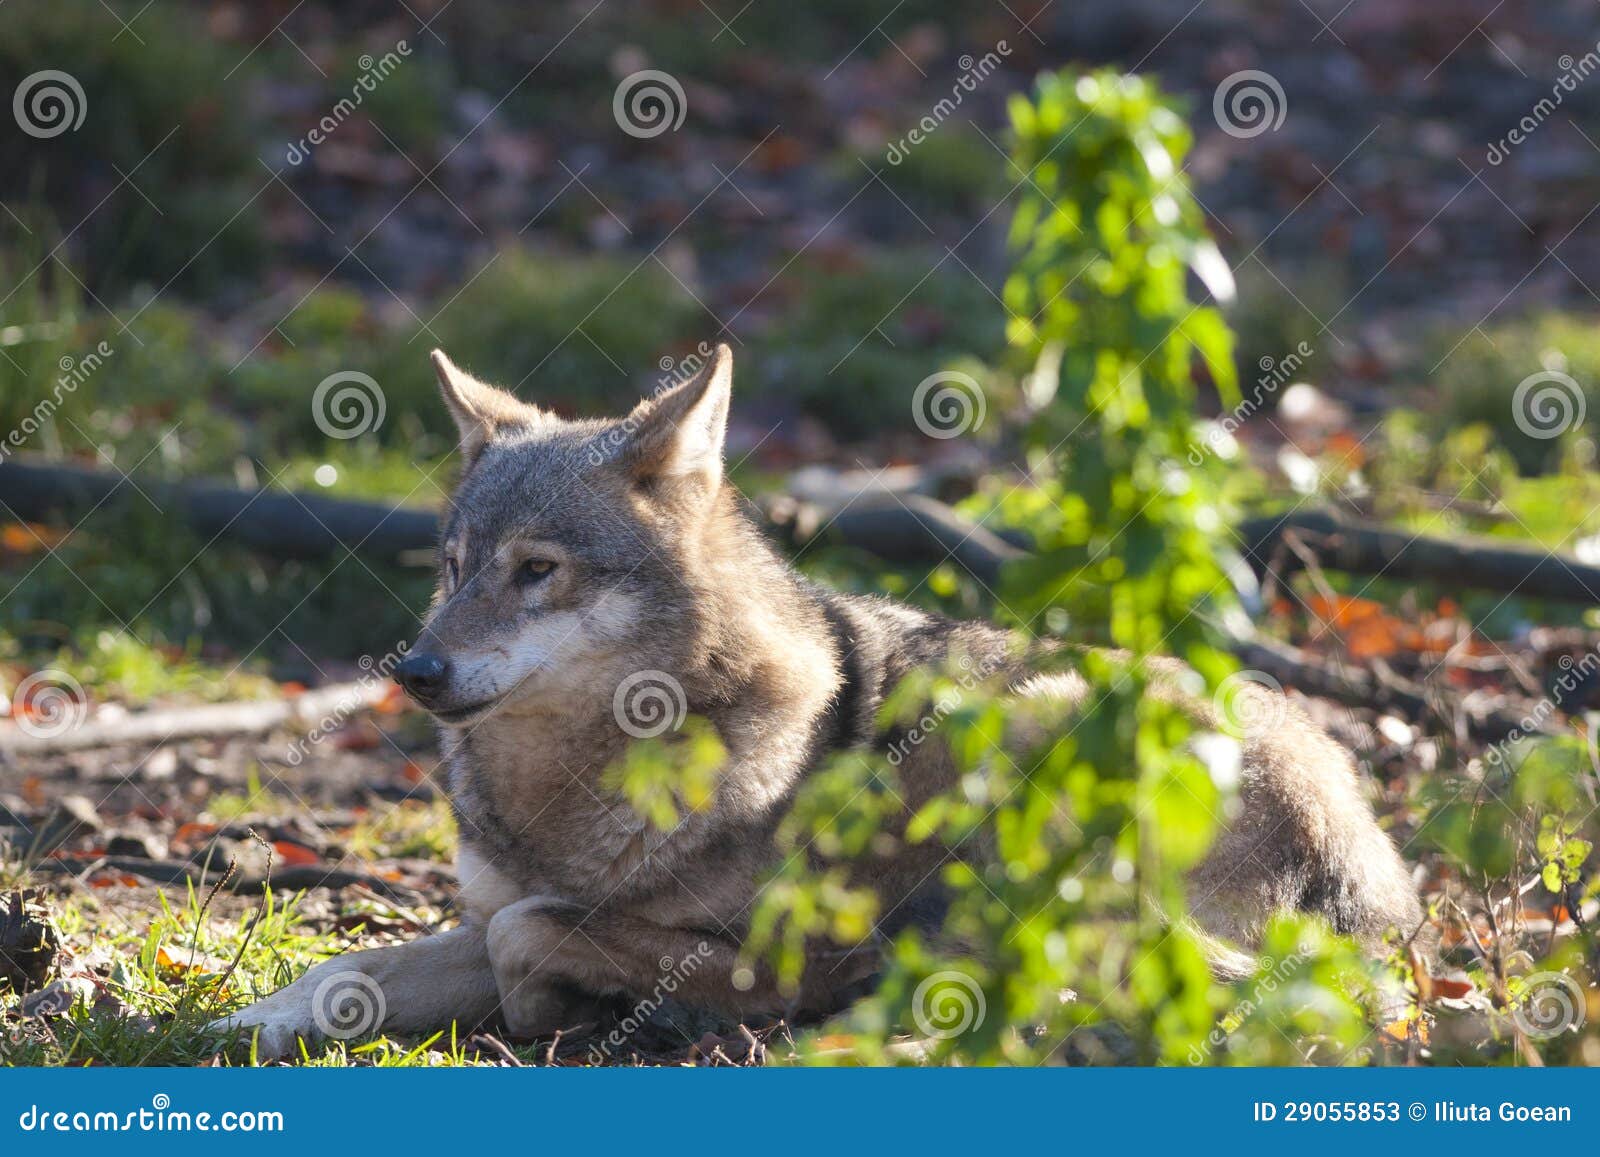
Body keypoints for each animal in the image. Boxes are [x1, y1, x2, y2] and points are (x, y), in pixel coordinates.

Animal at [211, 344, 1424, 1058]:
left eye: (537, 570)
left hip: (1032, 725)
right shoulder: (481, 904)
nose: (414, 672)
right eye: (455, 567)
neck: (574, 788)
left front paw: (567, 1010)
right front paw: (257, 1013)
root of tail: (1382, 893)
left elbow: (527, 933)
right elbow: (364, 960)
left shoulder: (759, 941)